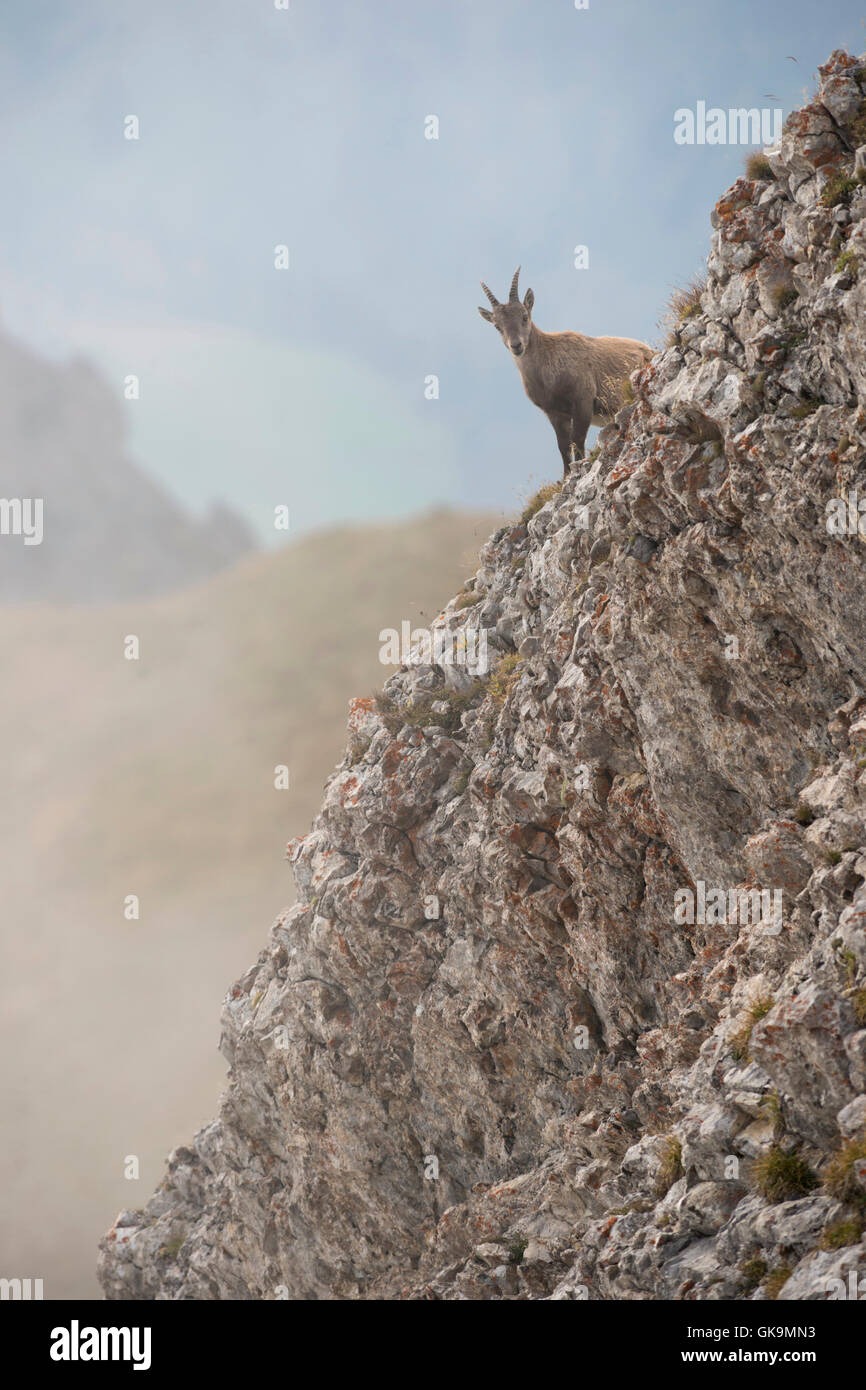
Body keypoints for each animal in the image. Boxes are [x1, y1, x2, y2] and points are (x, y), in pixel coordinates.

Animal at [478, 267, 653, 476]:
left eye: (524, 316)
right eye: (497, 326)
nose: (516, 346)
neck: (547, 373)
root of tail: (649, 350)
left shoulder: (583, 401)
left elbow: (577, 440)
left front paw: (580, 469)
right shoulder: (554, 412)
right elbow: (563, 445)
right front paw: (566, 475)